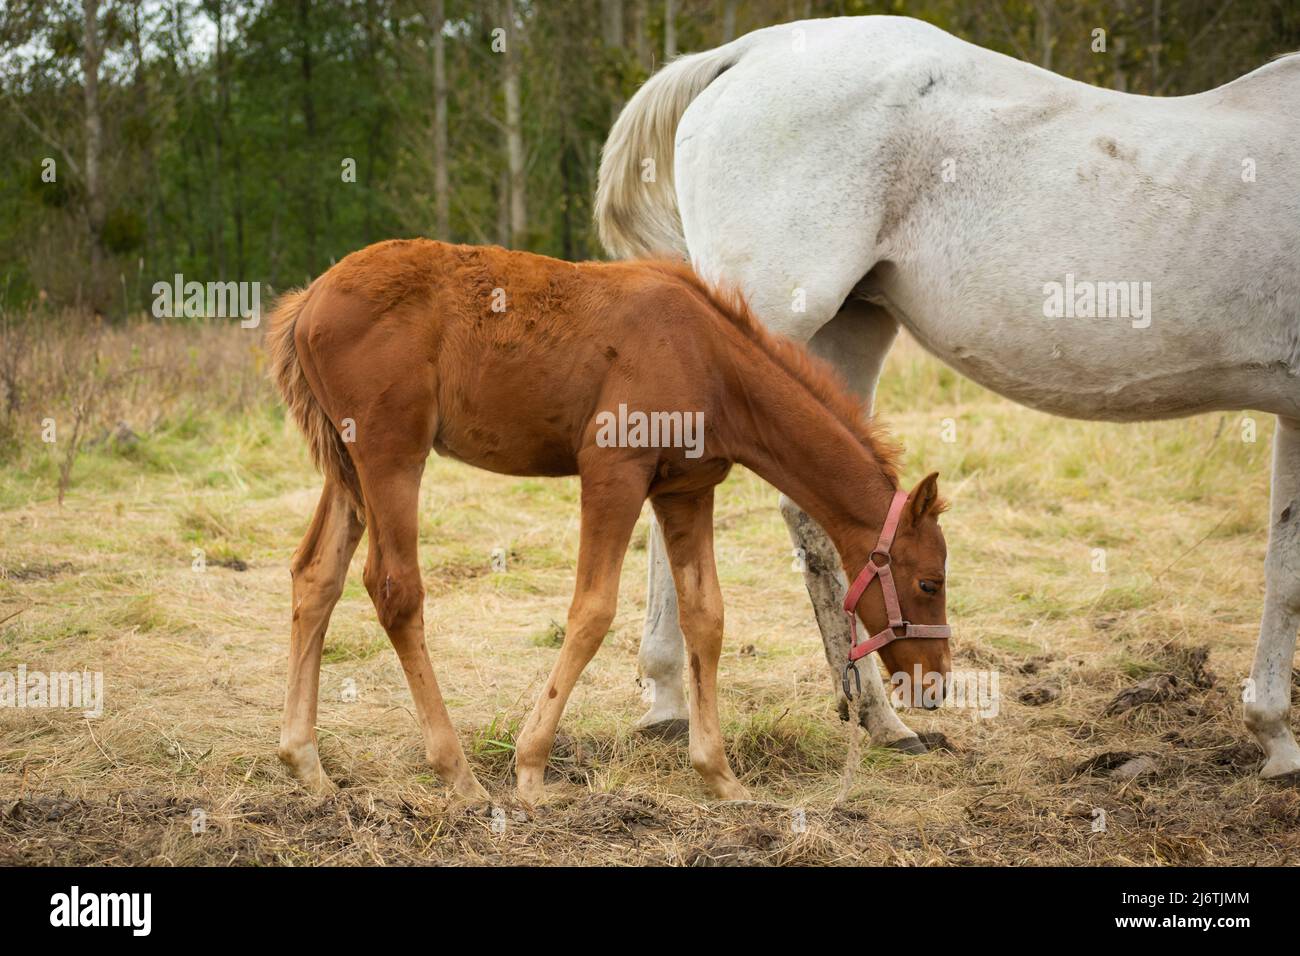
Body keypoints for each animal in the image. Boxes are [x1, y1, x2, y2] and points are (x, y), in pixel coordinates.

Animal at [267, 238, 951, 801]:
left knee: (315, 575)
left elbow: (706, 618)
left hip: (348, 468)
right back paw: (458, 774)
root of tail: (307, 302)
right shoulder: (612, 472)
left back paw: (306, 763)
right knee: (394, 590)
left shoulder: (686, 490)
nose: (937, 685)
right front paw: (531, 766)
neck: (706, 355)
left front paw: (720, 775)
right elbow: (592, 611)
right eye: (929, 582)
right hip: (390, 456)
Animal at [596, 14, 1300, 779]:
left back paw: (873, 717)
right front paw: (1278, 739)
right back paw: (674, 700)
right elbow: (1288, 572)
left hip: (850, 329)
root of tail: (749, 50)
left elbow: (1283, 562)